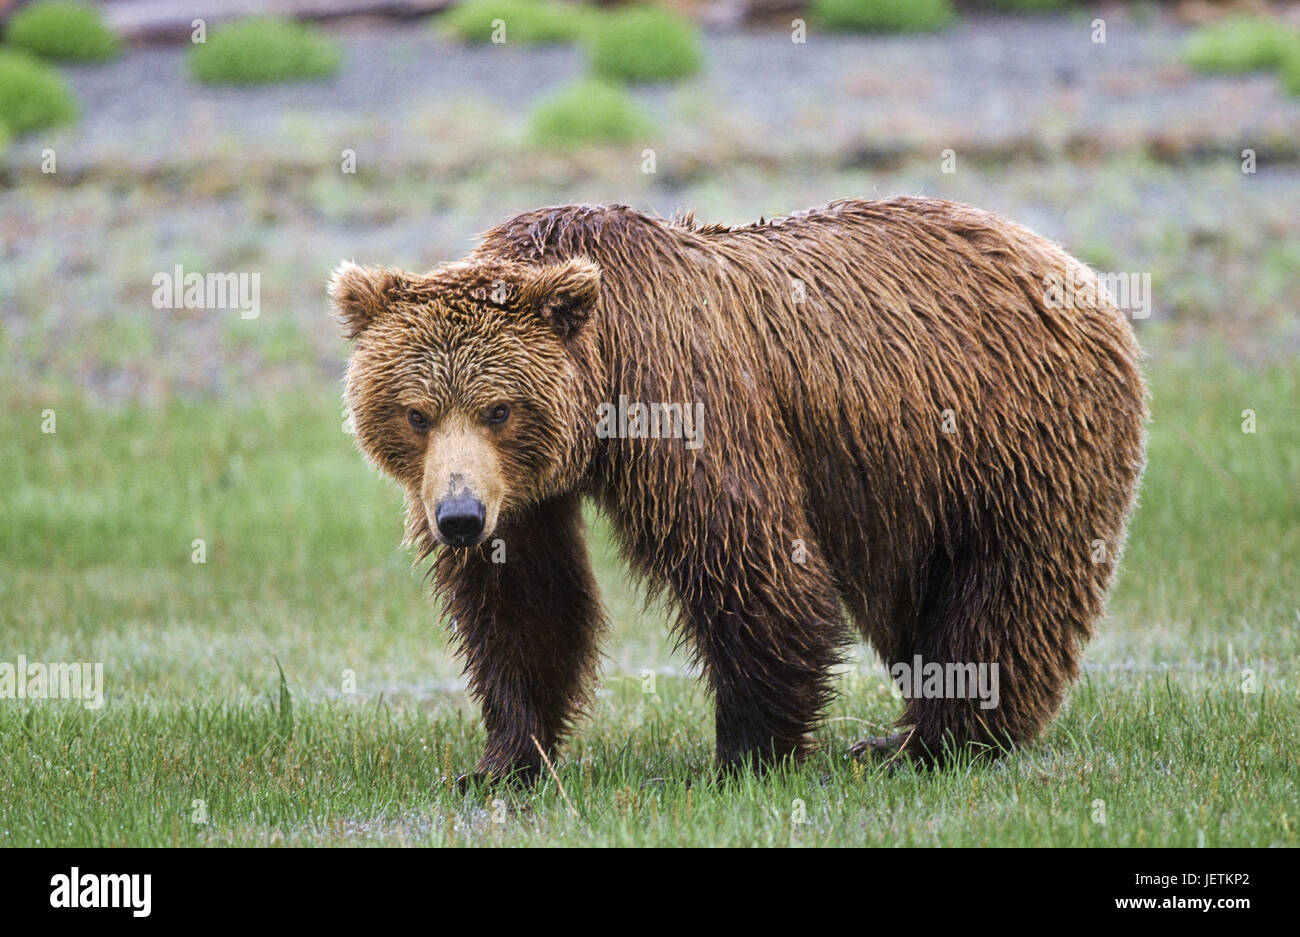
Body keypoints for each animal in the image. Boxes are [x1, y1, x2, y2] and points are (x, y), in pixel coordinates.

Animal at [330, 197, 1147, 781]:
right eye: (416, 412)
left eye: (499, 408)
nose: (460, 518)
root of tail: (1069, 263)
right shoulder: (524, 493)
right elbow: (525, 606)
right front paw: (499, 761)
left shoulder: (680, 397)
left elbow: (747, 561)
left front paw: (742, 757)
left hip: (1014, 434)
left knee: (1005, 590)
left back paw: (929, 743)